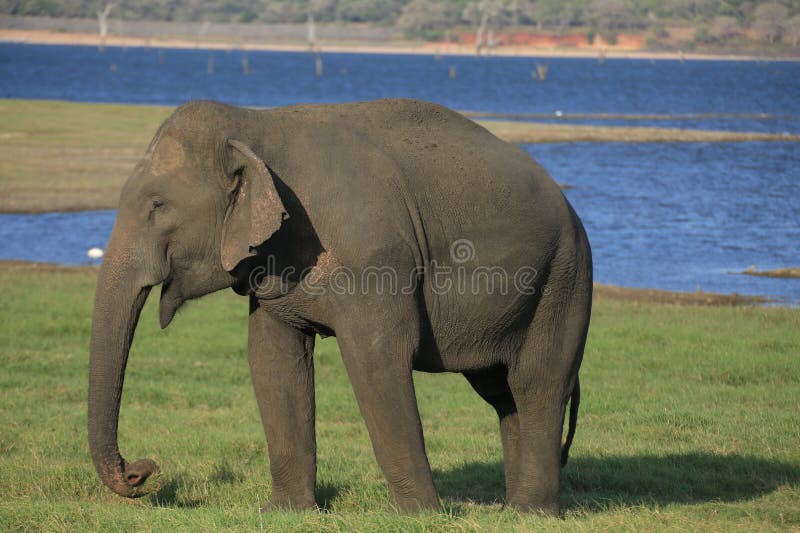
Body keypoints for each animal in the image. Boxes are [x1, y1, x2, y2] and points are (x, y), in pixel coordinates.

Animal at [88, 98, 592, 515]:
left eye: (157, 205)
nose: (142, 469)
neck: (257, 123)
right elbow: (273, 360)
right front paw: (286, 513)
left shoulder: (376, 258)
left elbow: (377, 357)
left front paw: (421, 516)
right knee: (502, 393)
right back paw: (514, 508)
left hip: (564, 278)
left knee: (537, 384)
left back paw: (532, 513)